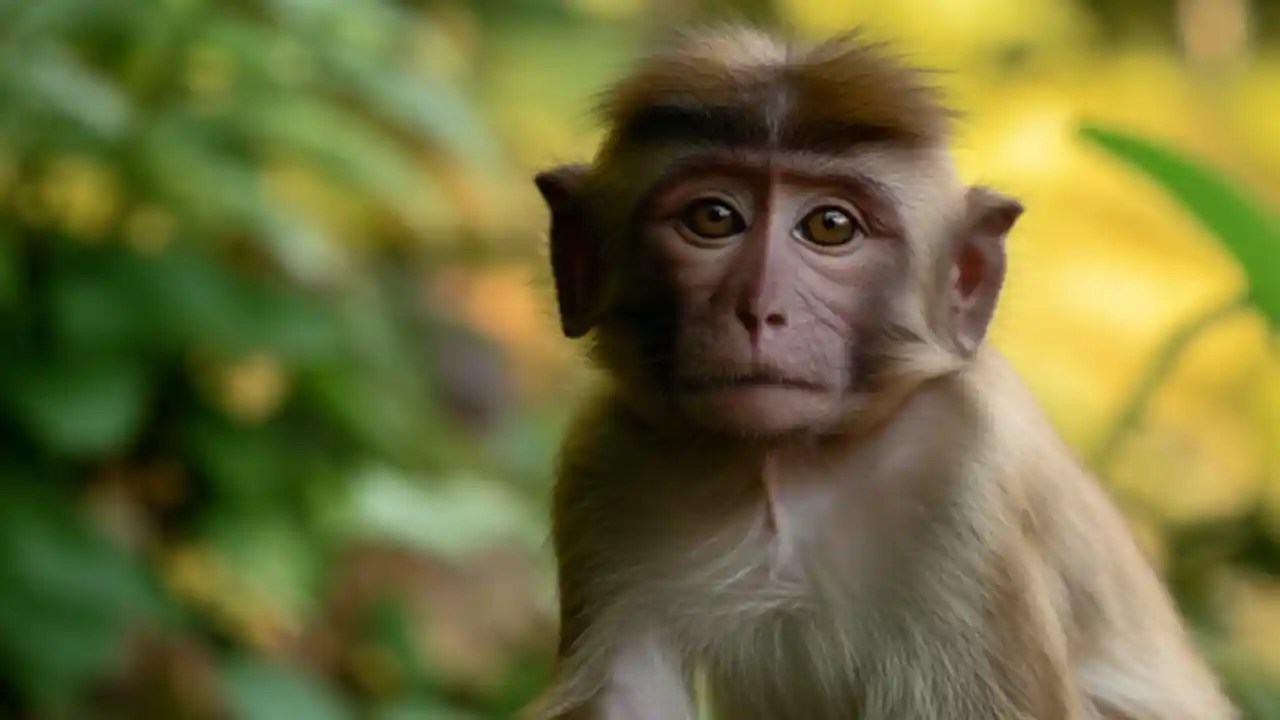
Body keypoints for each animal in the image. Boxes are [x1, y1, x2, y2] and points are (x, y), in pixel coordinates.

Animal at [526, 26, 1235, 720]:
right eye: (713, 217)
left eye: (830, 226)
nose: (759, 308)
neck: (783, 471)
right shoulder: (607, 464)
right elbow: (621, 693)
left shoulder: (959, 476)